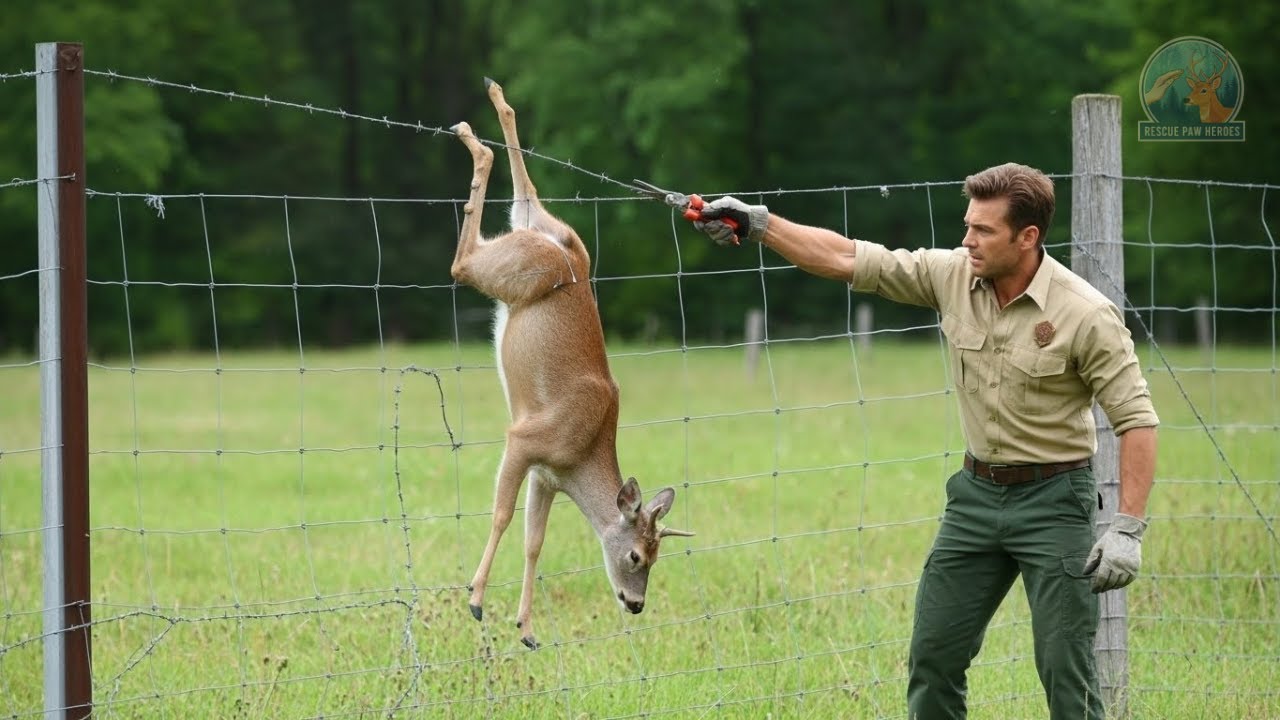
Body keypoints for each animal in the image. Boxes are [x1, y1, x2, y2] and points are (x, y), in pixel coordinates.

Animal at [447, 78, 695, 650]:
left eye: (658, 557)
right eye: (636, 555)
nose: (635, 604)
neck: (579, 455)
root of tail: (554, 242)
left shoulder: (545, 475)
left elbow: (534, 541)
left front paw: (526, 628)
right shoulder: (526, 438)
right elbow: (500, 514)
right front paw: (475, 598)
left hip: (542, 234)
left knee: (525, 190)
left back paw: (490, 105)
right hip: (518, 267)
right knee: (461, 261)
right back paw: (475, 136)